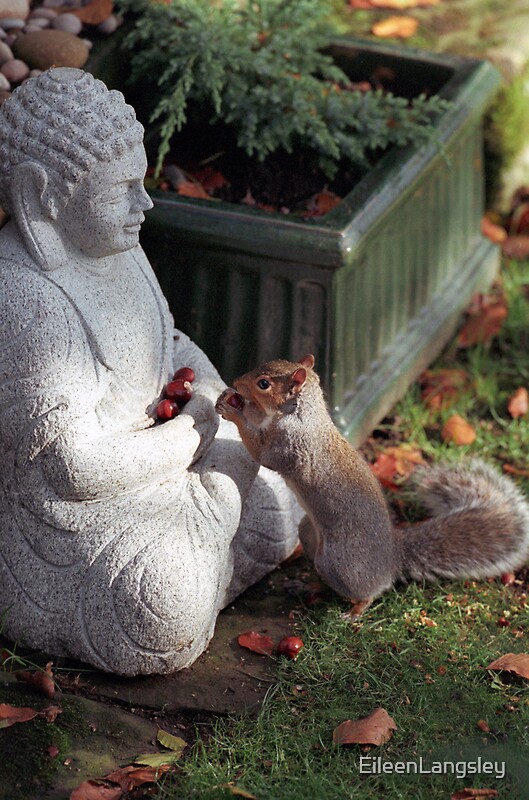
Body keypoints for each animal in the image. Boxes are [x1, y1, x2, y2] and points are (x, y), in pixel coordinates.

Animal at [215, 354, 529, 616]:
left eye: (263, 384)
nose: (236, 382)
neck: (304, 415)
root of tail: (391, 558)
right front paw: (231, 401)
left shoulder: (288, 444)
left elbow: (262, 453)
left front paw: (234, 412)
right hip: (309, 533)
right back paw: (308, 587)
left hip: (339, 562)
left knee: (366, 591)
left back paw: (355, 611)